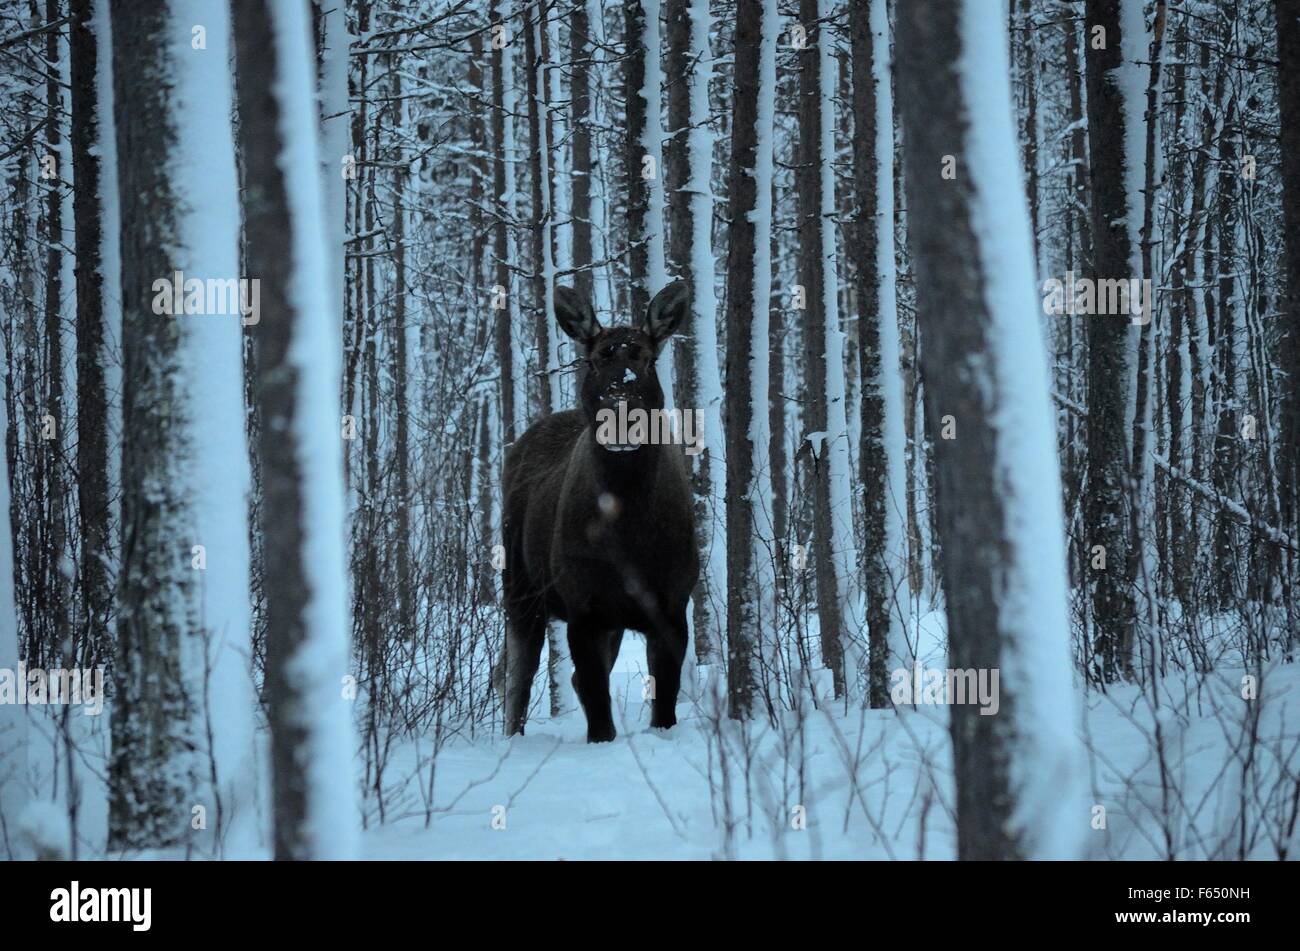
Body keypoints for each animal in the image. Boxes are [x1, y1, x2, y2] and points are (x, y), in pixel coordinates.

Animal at [498, 281, 699, 743]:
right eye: (593, 359)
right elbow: (598, 714)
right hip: (520, 589)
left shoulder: (671, 607)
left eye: (647, 358)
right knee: (517, 679)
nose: (621, 415)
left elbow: (663, 706)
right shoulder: (583, 609)